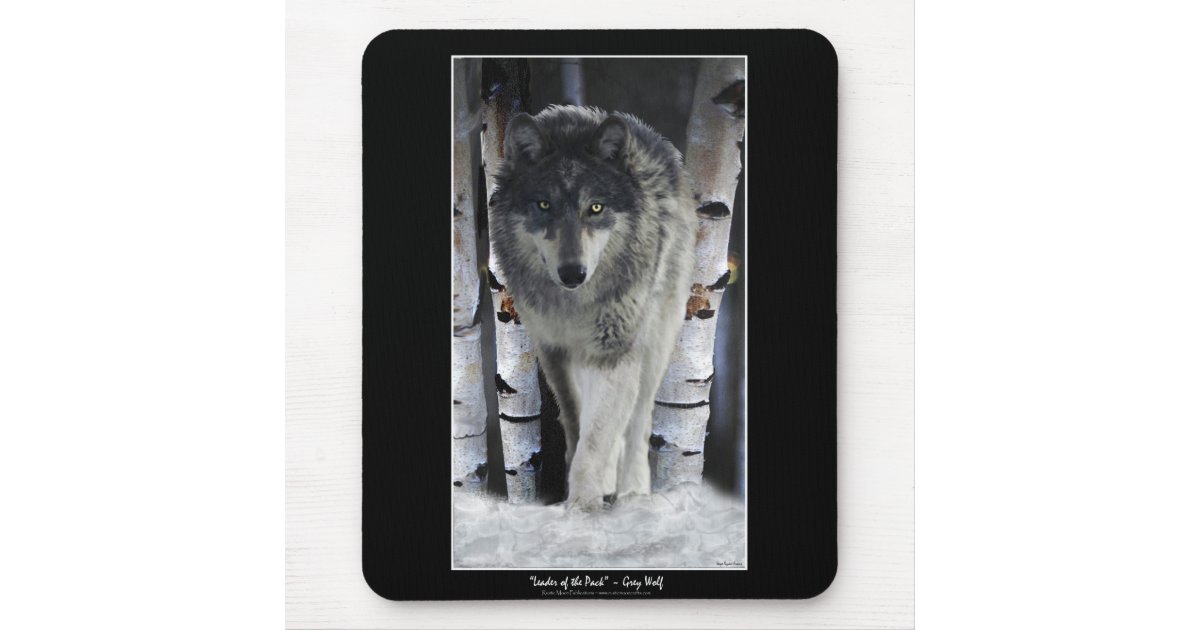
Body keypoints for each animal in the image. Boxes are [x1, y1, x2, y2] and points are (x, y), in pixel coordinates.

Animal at [490, 105, 697, 510]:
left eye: (595, 208)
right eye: (544, 205)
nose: (573, 273)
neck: (575, 305)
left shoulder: (614, 352)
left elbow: (598, 439)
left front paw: (584, 505)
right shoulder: (553, 352)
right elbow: (577, 427)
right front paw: (581, 497)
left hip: (654, 345)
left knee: (637, 422)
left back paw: (632, 492)